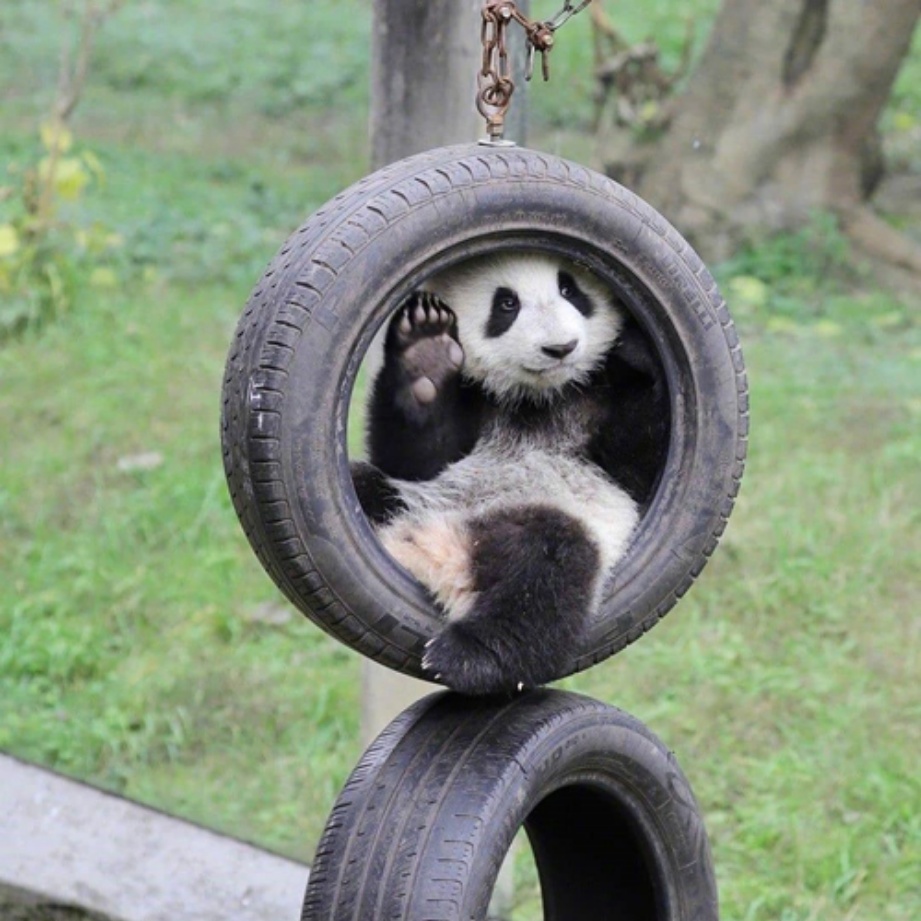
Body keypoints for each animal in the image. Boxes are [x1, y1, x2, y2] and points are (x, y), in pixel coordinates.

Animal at [351, 252, 669, 695]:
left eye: (570, 289)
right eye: (506, 304)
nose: (560, 348)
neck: (540, 396)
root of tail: (439, 553)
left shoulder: (606, 417)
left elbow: (636, 462)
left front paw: (638, 350)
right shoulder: (472, 401)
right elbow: (415, 459)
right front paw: (426, 354)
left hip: (550, 522)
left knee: (546, 574)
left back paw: (468, 656)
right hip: (404, 502)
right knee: (366, 486)